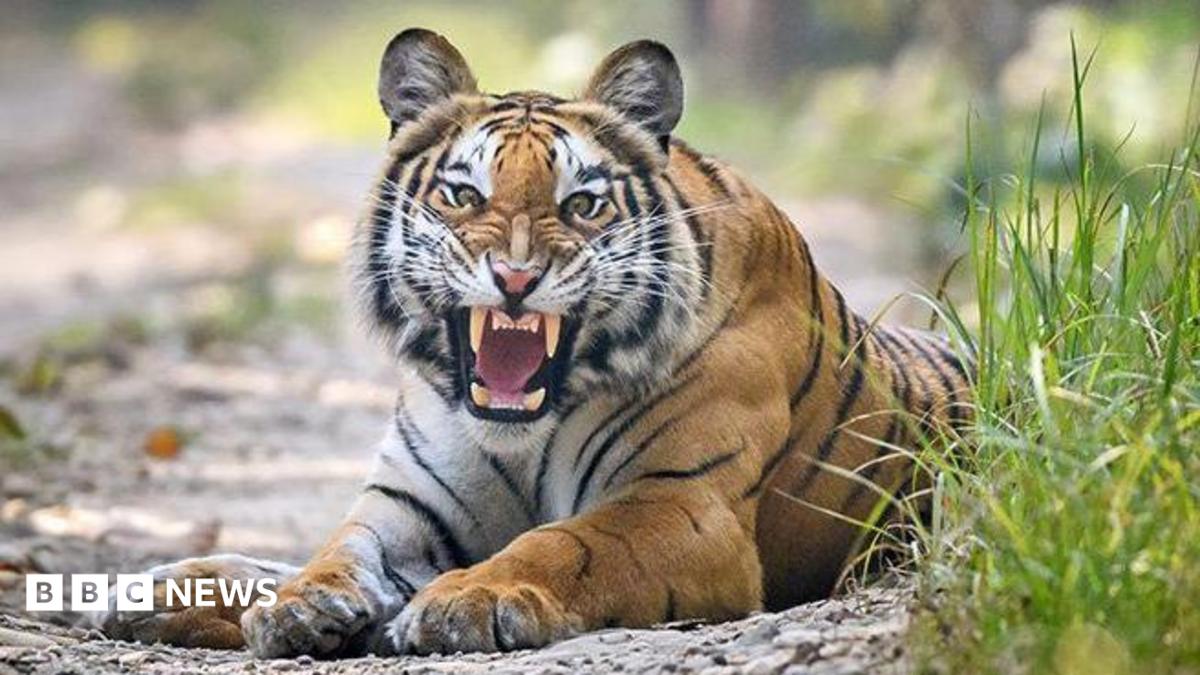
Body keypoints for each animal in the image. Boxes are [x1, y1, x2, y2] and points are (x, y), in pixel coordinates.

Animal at [96, 29, 971, 658]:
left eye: (581, 204)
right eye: (462, 194)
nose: (514, 276)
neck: (521, 428)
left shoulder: (681, 503)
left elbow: (564, 543)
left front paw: (464, 601)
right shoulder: (409, 503)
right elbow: (338, 548)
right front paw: (303, 604)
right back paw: (152, 592)